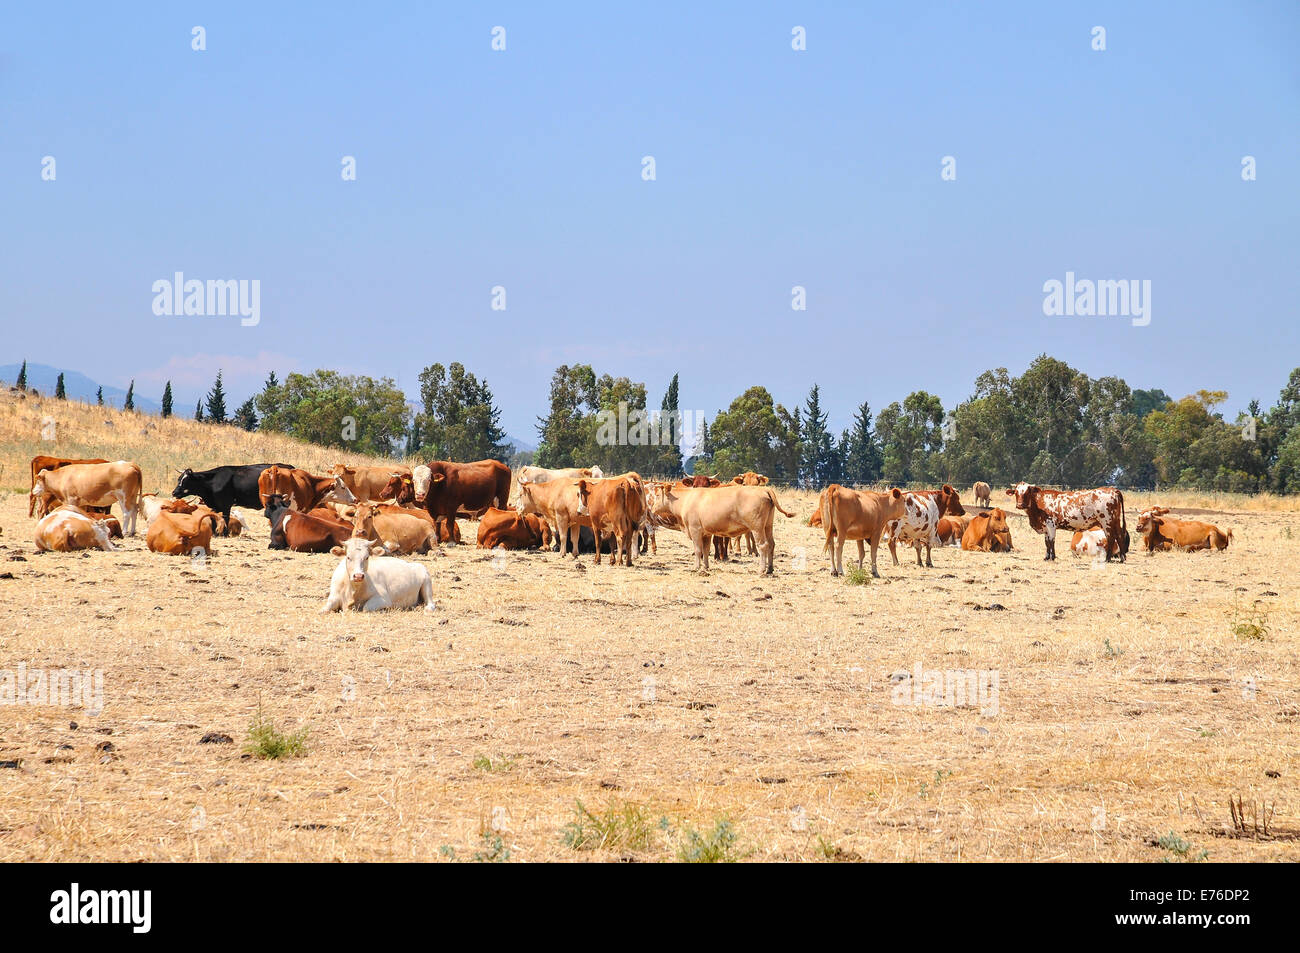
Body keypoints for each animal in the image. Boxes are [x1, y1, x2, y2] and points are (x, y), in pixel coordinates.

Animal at [648, 483, 795, 575]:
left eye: (657, 496)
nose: (652, 508)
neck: (685, 499)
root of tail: (764, 489)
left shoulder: (695, 530)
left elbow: (698, 550)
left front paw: (696, 567)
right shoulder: (706, 533)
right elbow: (706, 550)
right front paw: (706, 567)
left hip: (757, 527)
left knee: (763, 545)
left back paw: (761, 570)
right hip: (768, 526)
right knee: (771, 544)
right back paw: (770, 569)